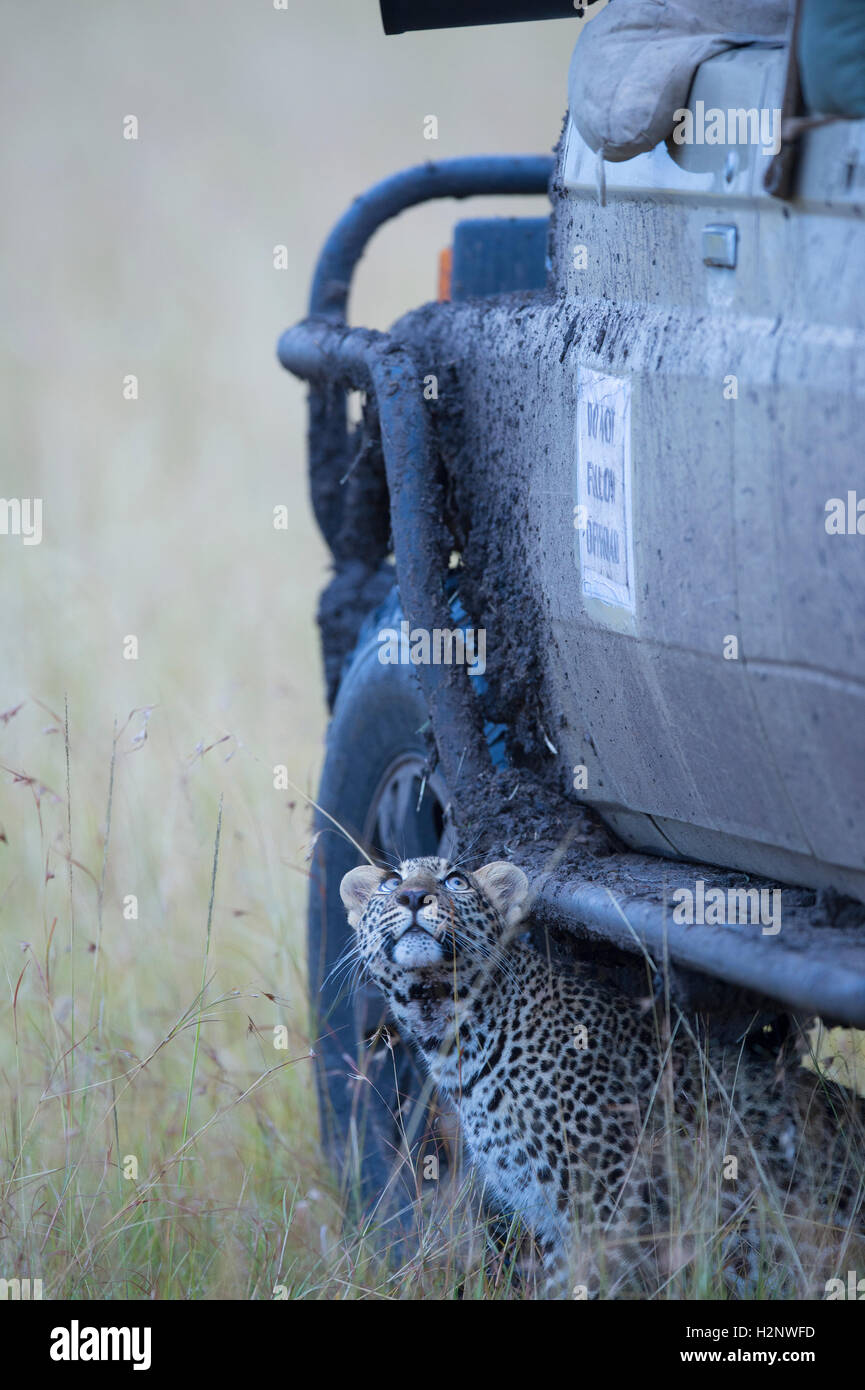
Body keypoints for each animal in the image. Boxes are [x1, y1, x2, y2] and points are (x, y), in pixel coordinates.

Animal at [340, 854, 865, 1298]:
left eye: (455, 881)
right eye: (390, 882)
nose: (412, 896)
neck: (453, 1037)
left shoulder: (606, 1213)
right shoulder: (552, 1221)